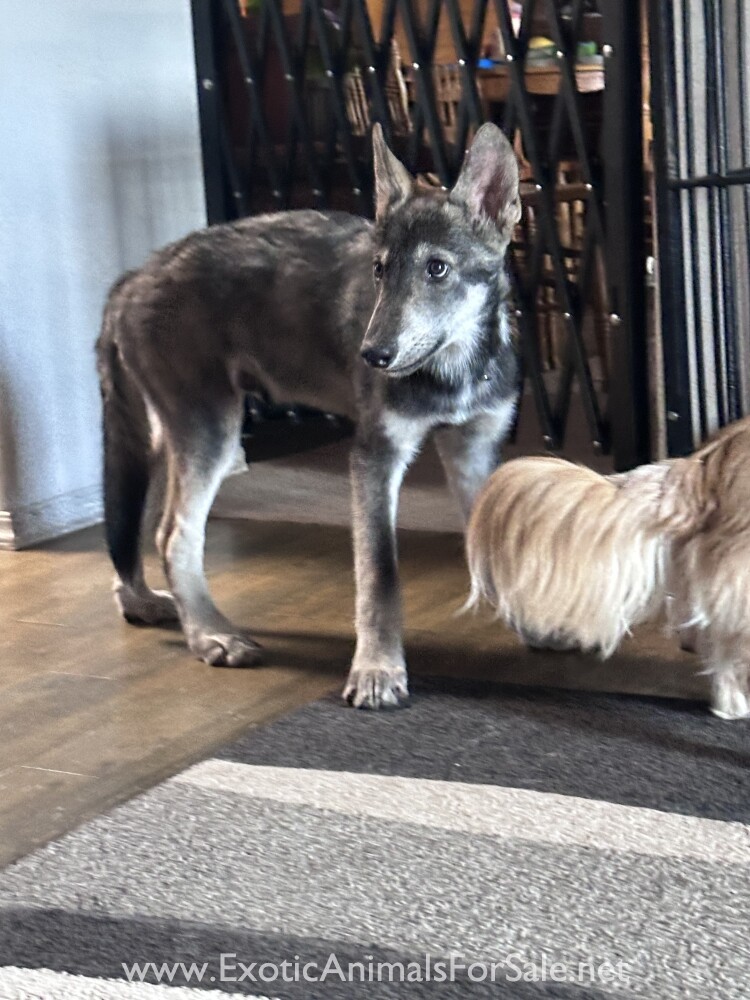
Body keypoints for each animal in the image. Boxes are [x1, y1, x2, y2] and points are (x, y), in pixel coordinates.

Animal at [97, 122, 521, 709]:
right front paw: (377, 670)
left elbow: (493, 537)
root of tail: (131, 278)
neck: (454, 368)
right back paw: (211, 635)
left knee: (135, 524)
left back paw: (143, 603)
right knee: (173, 535)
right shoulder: (374, 459)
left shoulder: (473, 449)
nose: (373, 356)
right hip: (209, 434)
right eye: (379, 271)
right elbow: (378, 577)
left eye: (437, 268)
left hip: (167, 438)